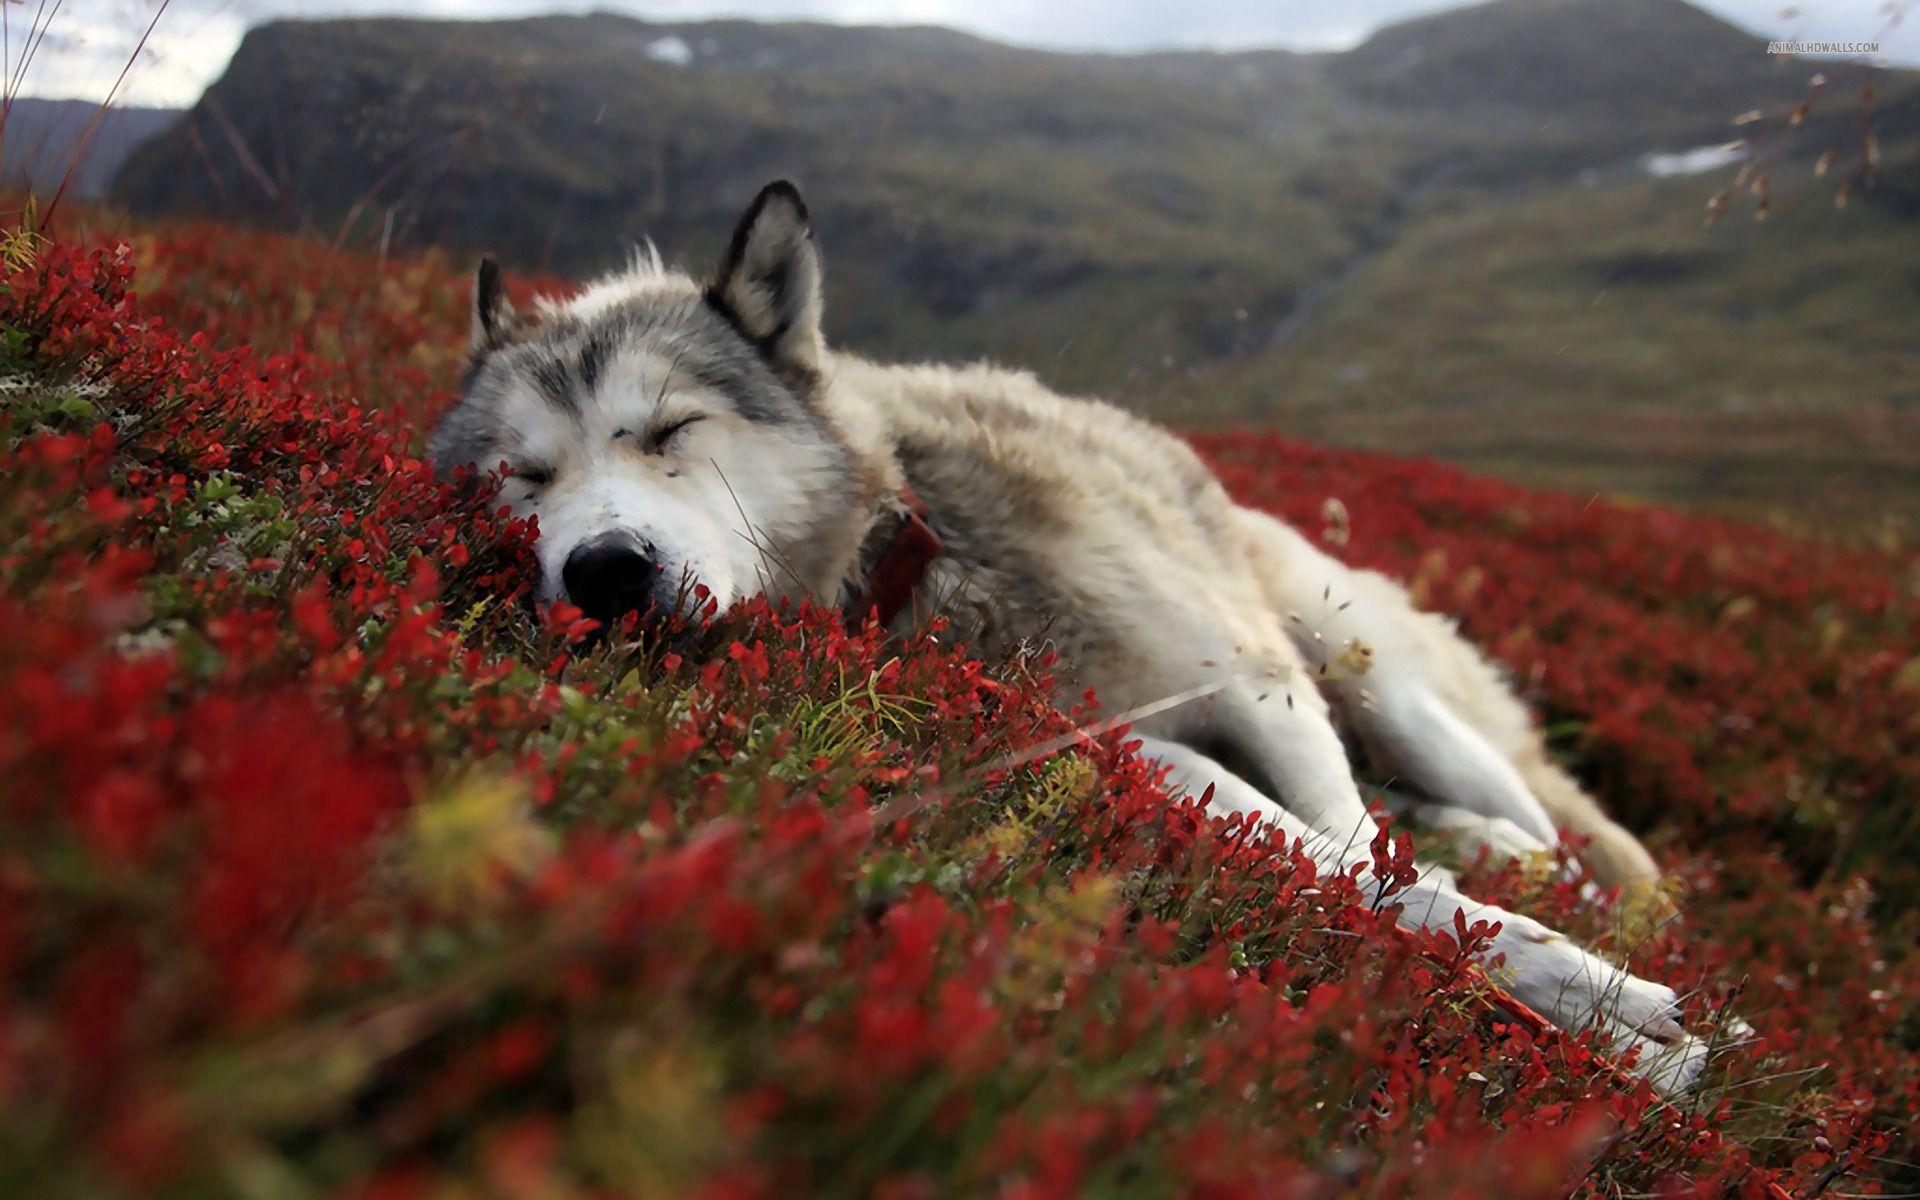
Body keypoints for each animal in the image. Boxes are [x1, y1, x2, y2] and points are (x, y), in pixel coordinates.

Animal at [430, 181, 1708, 1092]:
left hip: (1367, 672)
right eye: (524, 477)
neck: (926, 552)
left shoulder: (1258, 688)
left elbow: (1359, 855)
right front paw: (1601, 1023)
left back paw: (1557, 872)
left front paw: (1602, 1005)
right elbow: (1349, 872)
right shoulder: (1138, 751)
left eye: (670, 431)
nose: (604, 572)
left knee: (1558, 830)